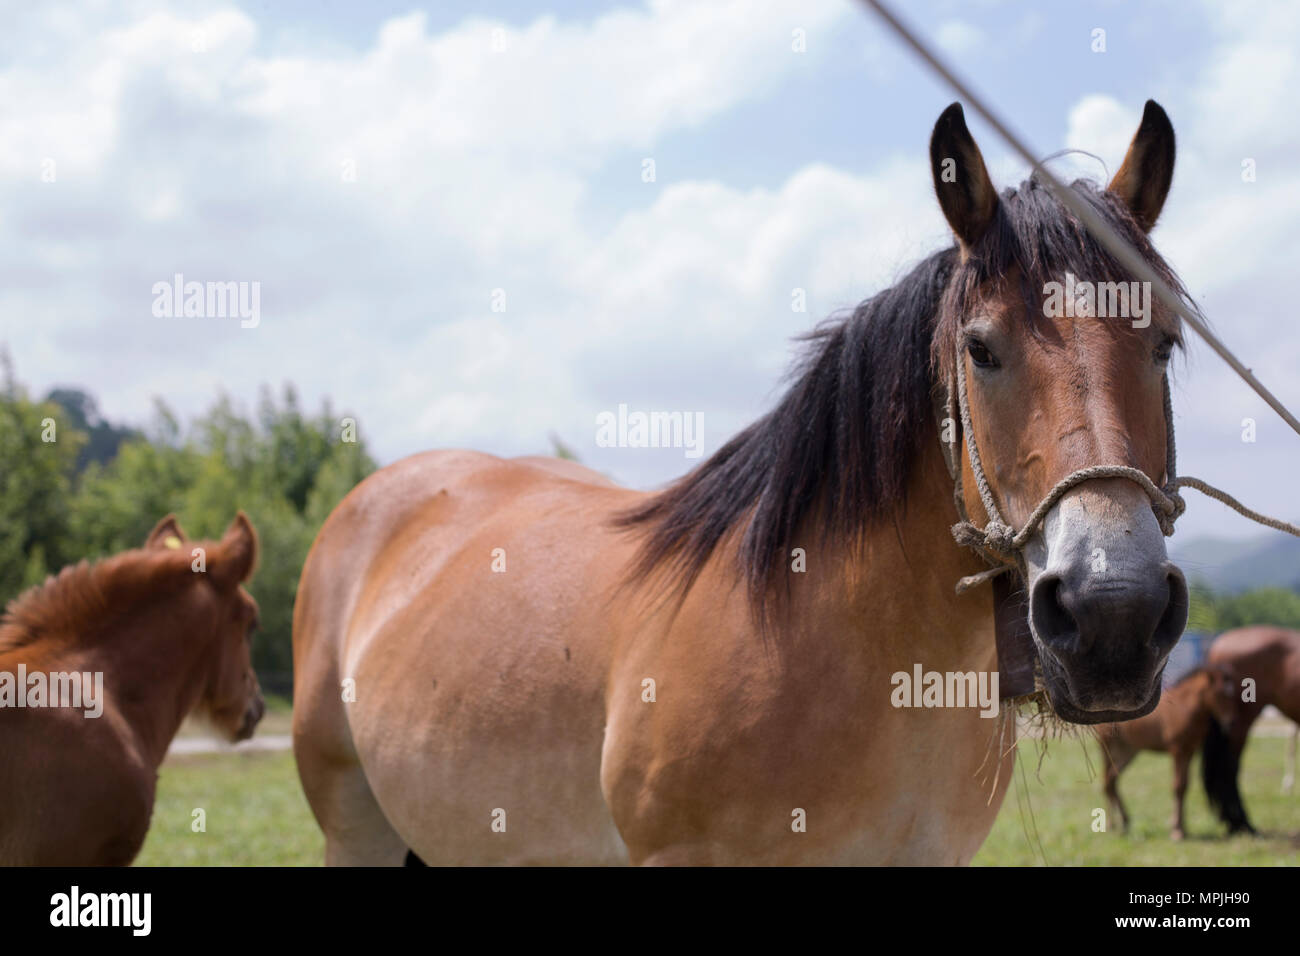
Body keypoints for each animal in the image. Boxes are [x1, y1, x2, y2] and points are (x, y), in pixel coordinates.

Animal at [1096, 665, 1237, 840]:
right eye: (1219, 694)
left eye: (1232, 693)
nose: (1230, 722)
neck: (1184, 707)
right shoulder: (1178, 751)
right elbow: (1178, 786)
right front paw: (1177, 830)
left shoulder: (1189, 752)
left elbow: (1185, 786)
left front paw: (1183, 827)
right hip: (1107, 749)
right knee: (1107, 782)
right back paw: (1112, 824)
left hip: (1127, 752)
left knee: (1111, 781)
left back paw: (1122, 822)